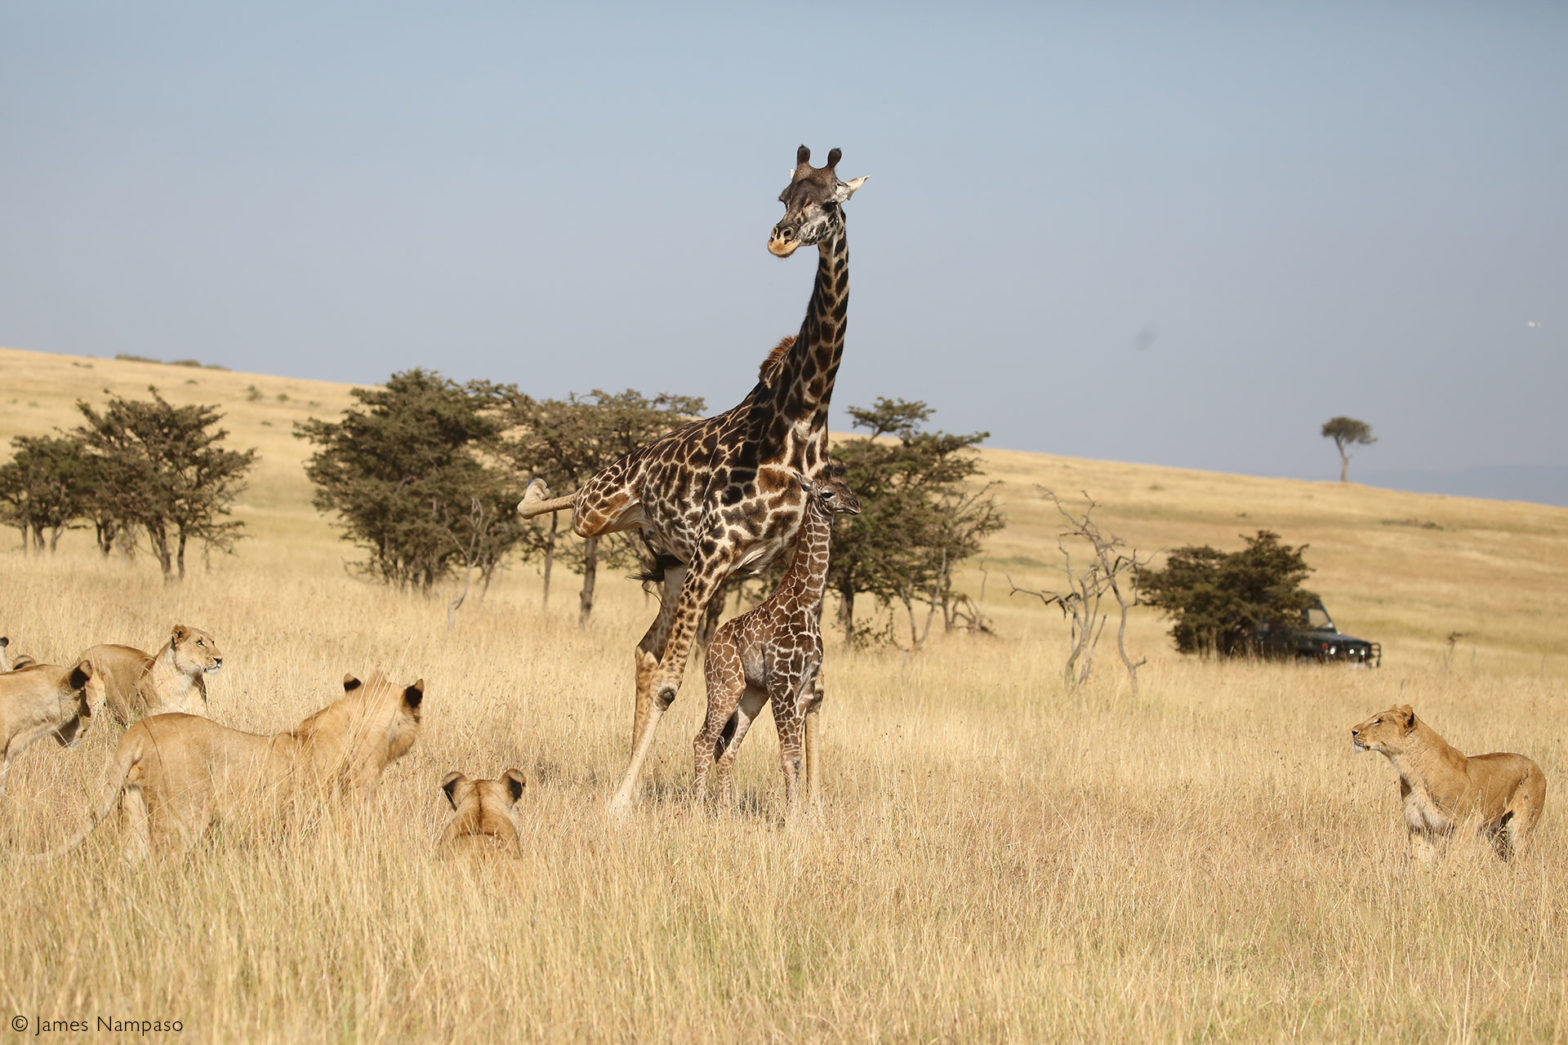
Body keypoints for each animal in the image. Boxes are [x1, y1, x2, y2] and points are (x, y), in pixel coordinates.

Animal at [77, 624, 223, 724]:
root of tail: (84, 653)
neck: (185, 680)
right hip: (91, 704)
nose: (220, 659)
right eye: (199, 642)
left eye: (213, 642)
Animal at [692, 470, 859, 816]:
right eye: (826, 493)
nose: (856, 505)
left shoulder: (805, 688)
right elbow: (789, 757)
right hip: (725, 686)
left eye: (847, 487)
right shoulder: (783, 684)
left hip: (752, 696)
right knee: (703, 741)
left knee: (726, 751)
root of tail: (711, 646)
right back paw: (697, 811)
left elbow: (801, 757)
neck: (808, 604)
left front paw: (803, 815)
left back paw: (726, 813)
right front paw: (792, 819)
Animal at [1351, 704, 1546, 862]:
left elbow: (1454, 858)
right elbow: (1420, 862)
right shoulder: (1418, 827)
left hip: (1519, 828)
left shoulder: (1468, 821)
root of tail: (1536, 766)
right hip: (1497, 832)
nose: (1353, 731)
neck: (1412, 773)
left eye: (1379, 721)